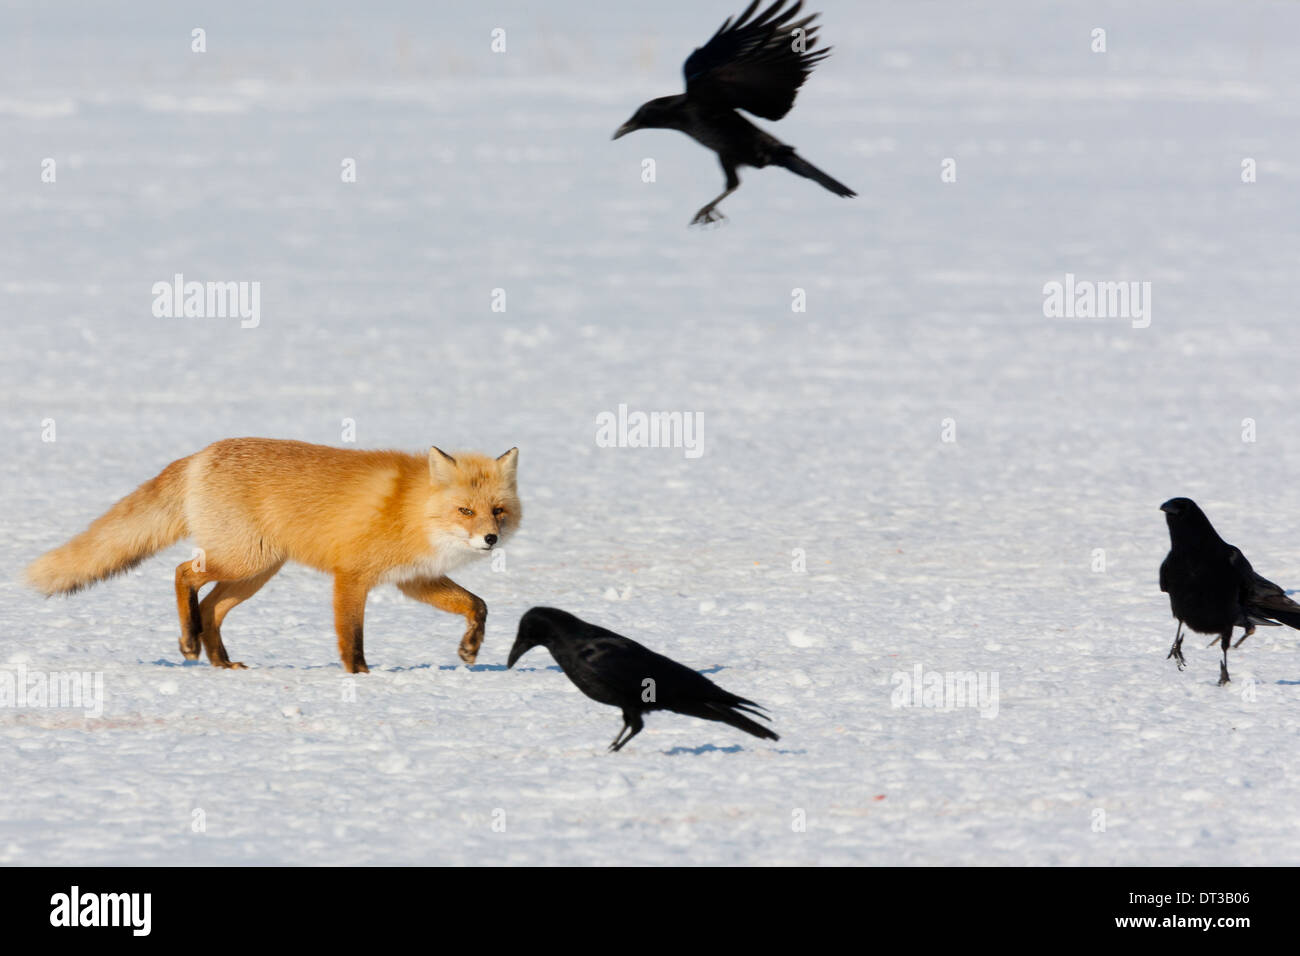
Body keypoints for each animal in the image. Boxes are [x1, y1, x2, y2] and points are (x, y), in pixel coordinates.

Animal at [25, 438, 521, 673]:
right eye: (465, 511)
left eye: (497, 511)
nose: (490, 540)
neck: (411, 508)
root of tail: (202, 454)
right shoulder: (352, 576)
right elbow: (351, 636)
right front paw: (360, 675)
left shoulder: (414, 579)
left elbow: (478, 605)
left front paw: (471, 647)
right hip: (244, 561)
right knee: (183, 573)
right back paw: (188, 643)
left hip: (255, 572)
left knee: (210, 607)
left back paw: (221, 662)